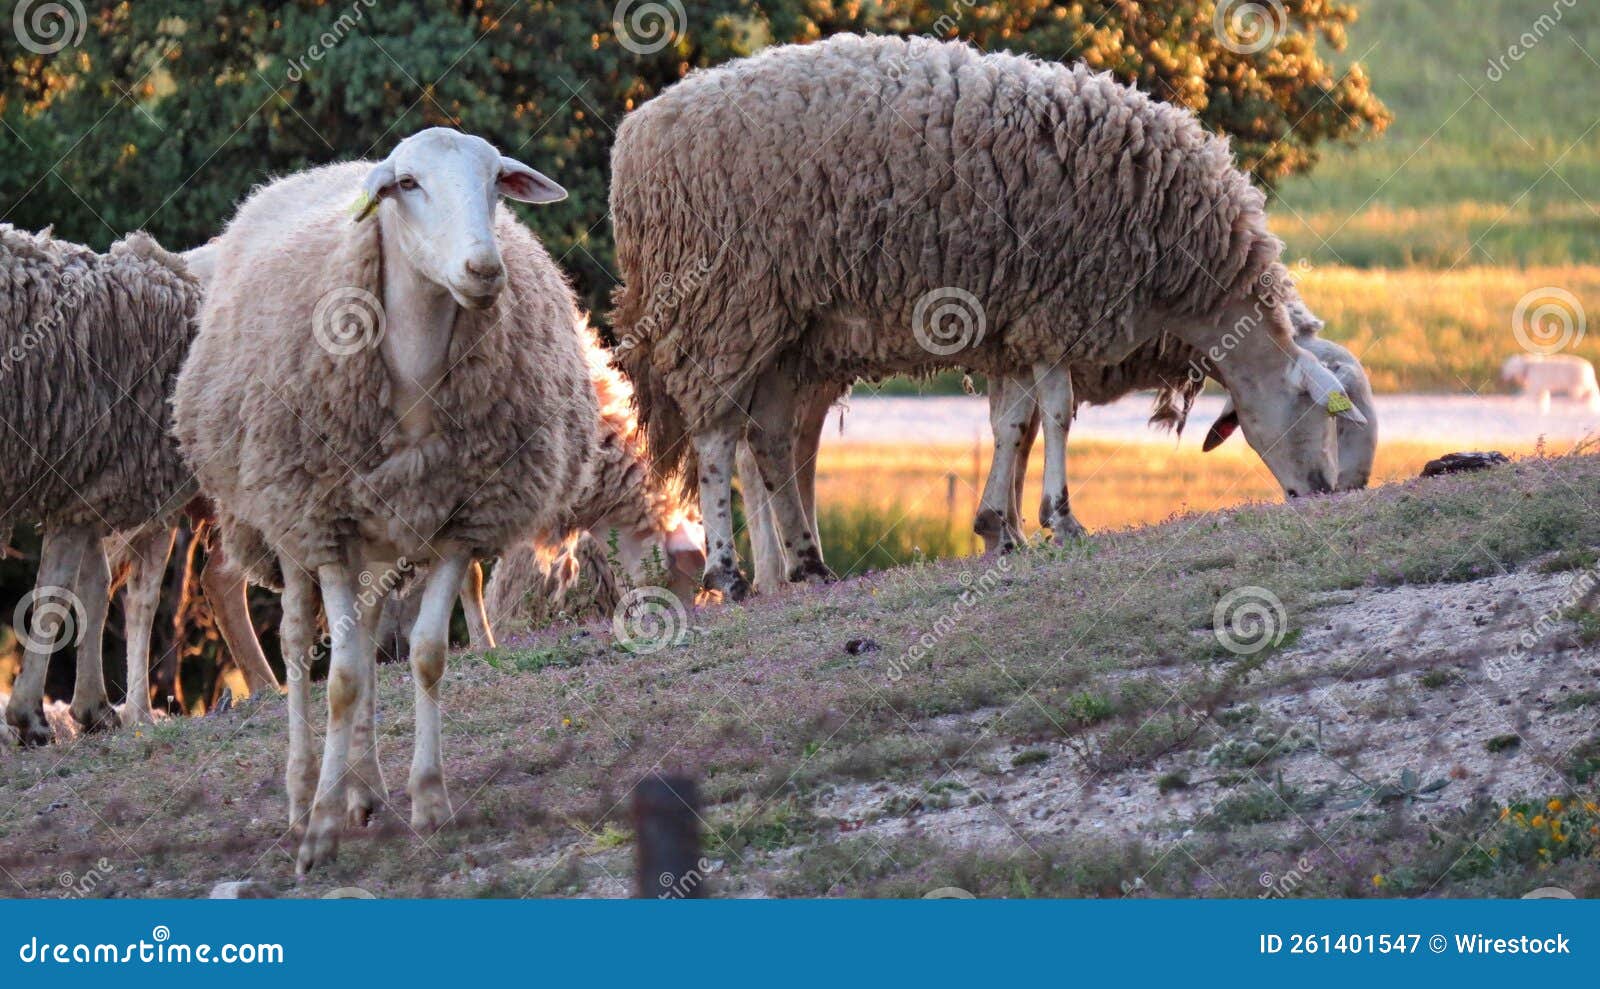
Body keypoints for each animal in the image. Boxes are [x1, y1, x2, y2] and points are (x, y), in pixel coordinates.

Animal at [172, 128, 597, 873]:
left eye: (497, 180)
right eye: (408, 184)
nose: (484, 268)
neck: (415, 380)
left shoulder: (459, 523)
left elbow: (424, 654)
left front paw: (428, 799)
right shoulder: (327, 524)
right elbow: (339, 678)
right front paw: (317, 832)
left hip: (377, 537)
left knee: (368, 638)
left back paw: (363, 789)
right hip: (290, 522)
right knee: (295, 640)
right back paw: (303, 790)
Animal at [611, 34, 1365, 599]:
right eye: (1317, 409)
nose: (1322, 491)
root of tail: (636, 133)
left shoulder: (1017, 321)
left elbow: (1014, 425)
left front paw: (1001, 527)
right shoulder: (1060, 306)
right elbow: (1057, 416)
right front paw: (1060, 518)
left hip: (786, 329)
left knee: (768, 438)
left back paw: (808, 562)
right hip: (722, 306)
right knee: (717, 439)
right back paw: (730, 572)